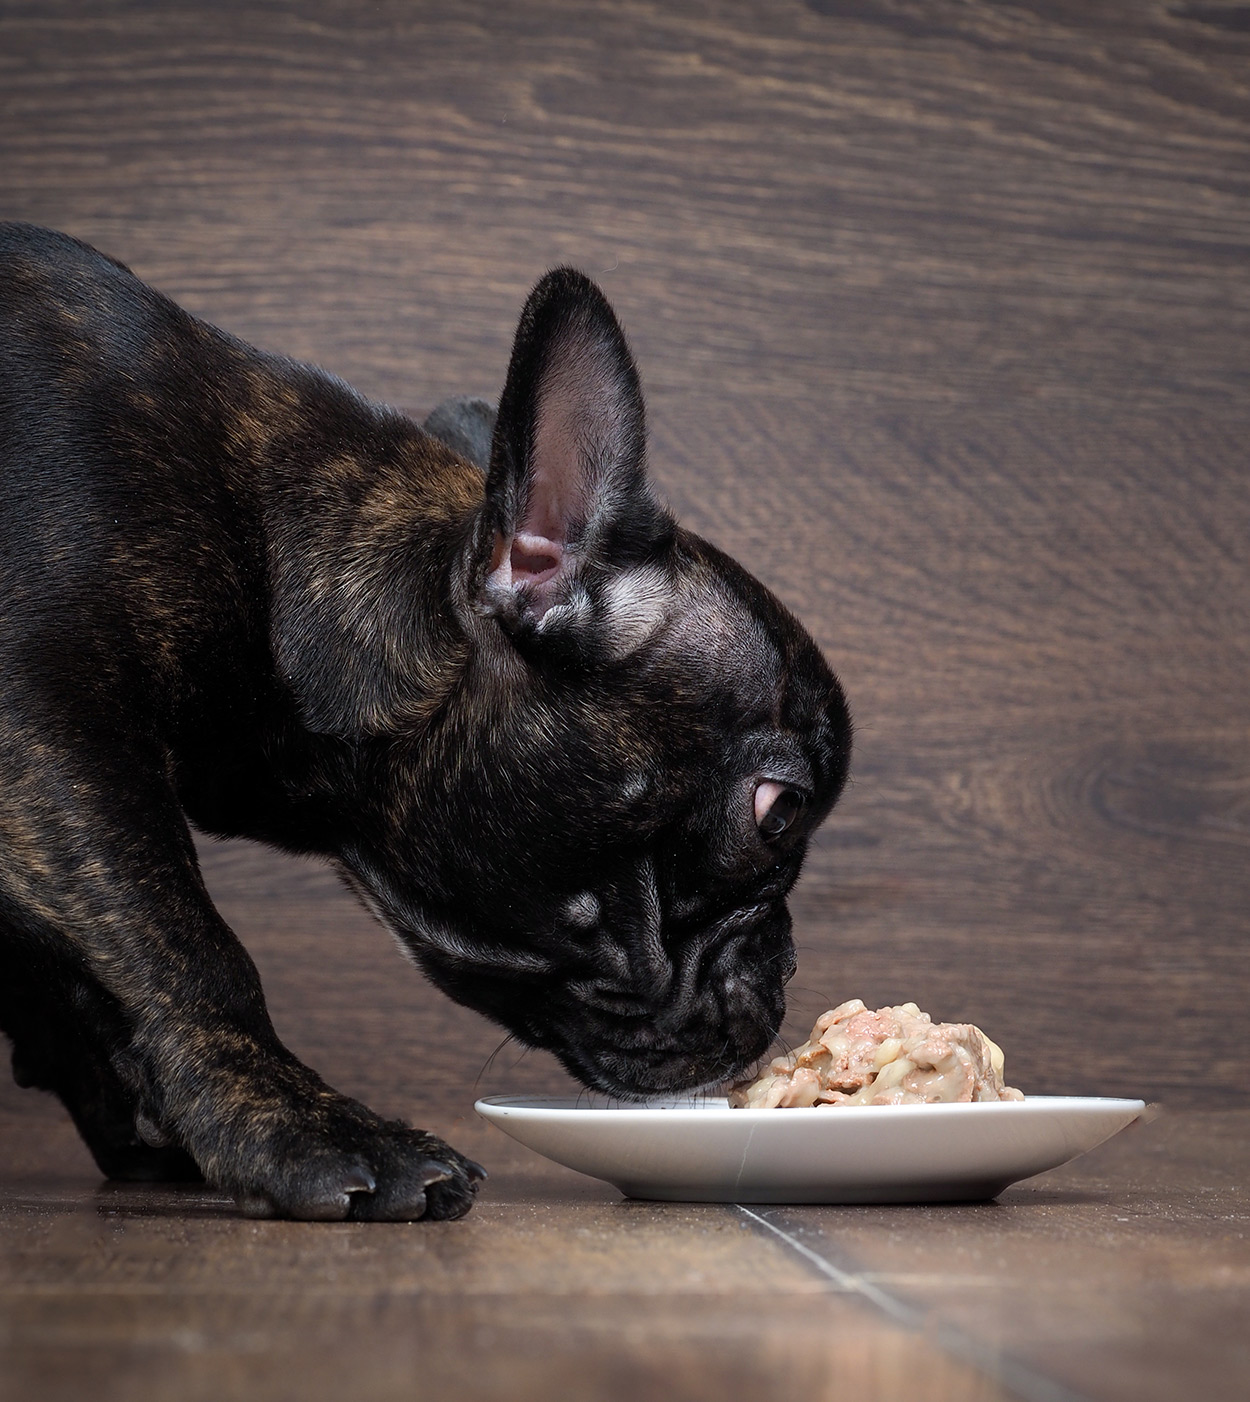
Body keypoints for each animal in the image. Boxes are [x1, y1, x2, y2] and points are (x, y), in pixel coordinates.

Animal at [0, 224, 852, 1222]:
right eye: (778, 812)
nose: (786, 966)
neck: (273, 569)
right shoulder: (54, 732)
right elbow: (180, 945)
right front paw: (307, 1132)